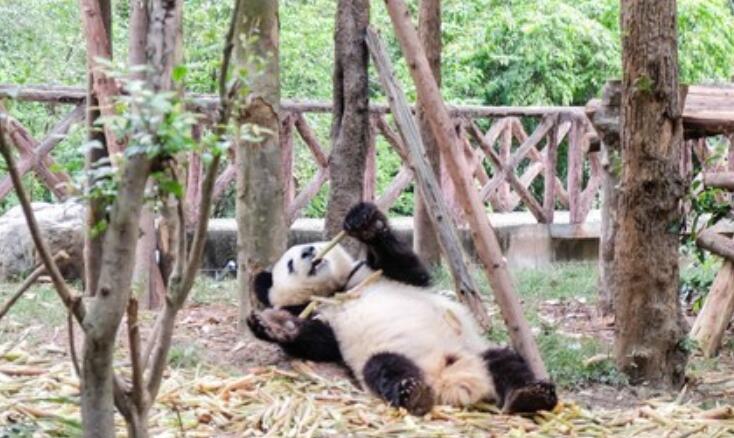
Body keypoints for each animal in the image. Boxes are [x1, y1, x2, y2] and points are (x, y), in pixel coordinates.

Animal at [247, 202, 557, 416]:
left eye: (314, 243)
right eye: (290, 264)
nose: (310, 252)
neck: (338, 290)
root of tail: (452, 380)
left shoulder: (371, 273)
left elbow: (408, 268)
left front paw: (364, 222)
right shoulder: (324, 315)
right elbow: (318, 342)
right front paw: (271, 324)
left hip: (475, 348)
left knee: (507, 361)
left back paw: (530, 395)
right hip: (386, 354)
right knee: (385, 367)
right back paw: (413, 391)